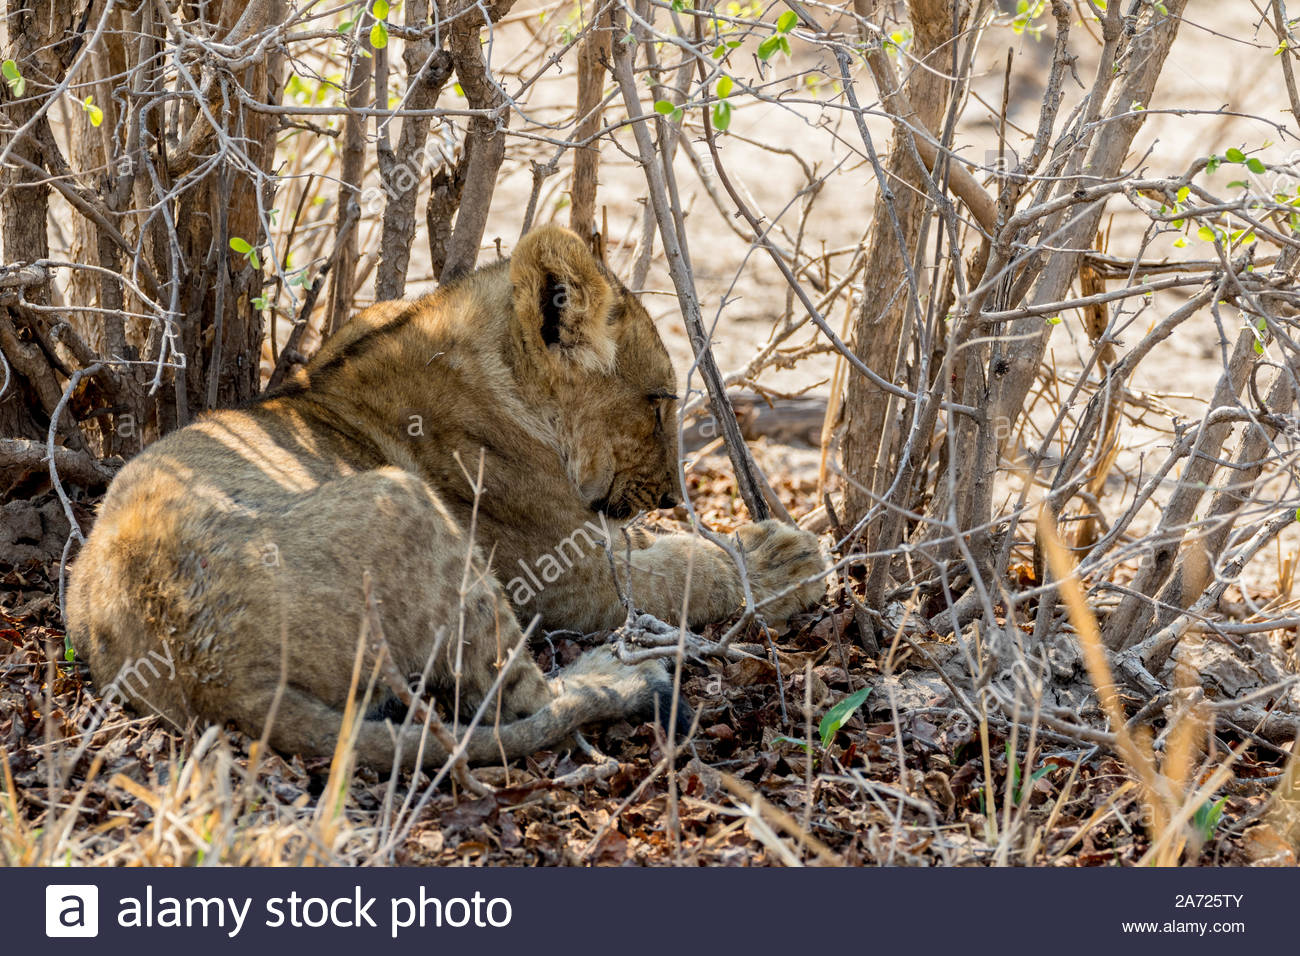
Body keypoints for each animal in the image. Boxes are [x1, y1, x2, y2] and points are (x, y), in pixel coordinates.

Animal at [65, 225, 827, 770]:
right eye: (661, 403)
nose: (669, 494)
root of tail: (209, 668)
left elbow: (663, 546)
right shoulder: (562, 575)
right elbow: (679, 571)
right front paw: (783, 566)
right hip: (409, 509)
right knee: (513, 700)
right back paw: (620, 674)